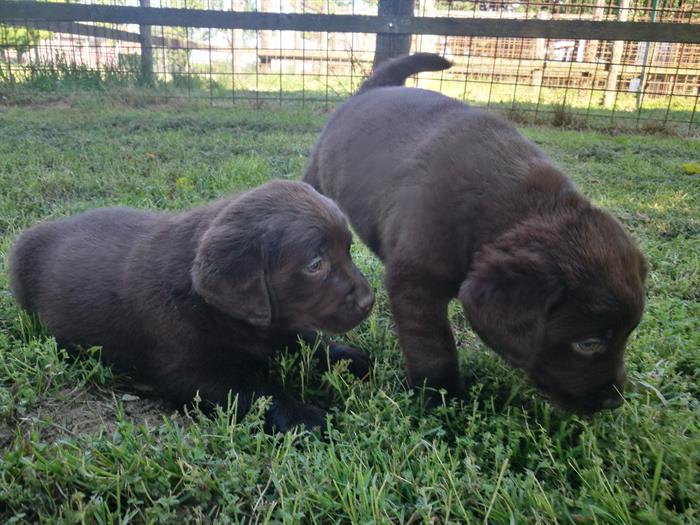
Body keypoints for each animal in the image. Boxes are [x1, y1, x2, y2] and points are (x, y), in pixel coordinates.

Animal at [8, 180, 374, 430]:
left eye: (348, 248)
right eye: (315, 265)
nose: (368, 300)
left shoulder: (280, 325)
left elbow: (309, 341)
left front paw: (348, 358)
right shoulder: (190, 373)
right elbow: (256, 393)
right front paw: (305, 417)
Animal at [304, 53, 648, 414]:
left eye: (628, 334)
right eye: (588, 343)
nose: (614, 400)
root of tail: (371, 90)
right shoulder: (415, 284)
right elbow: (434, 348)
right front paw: (442, 397)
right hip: (317, 179)